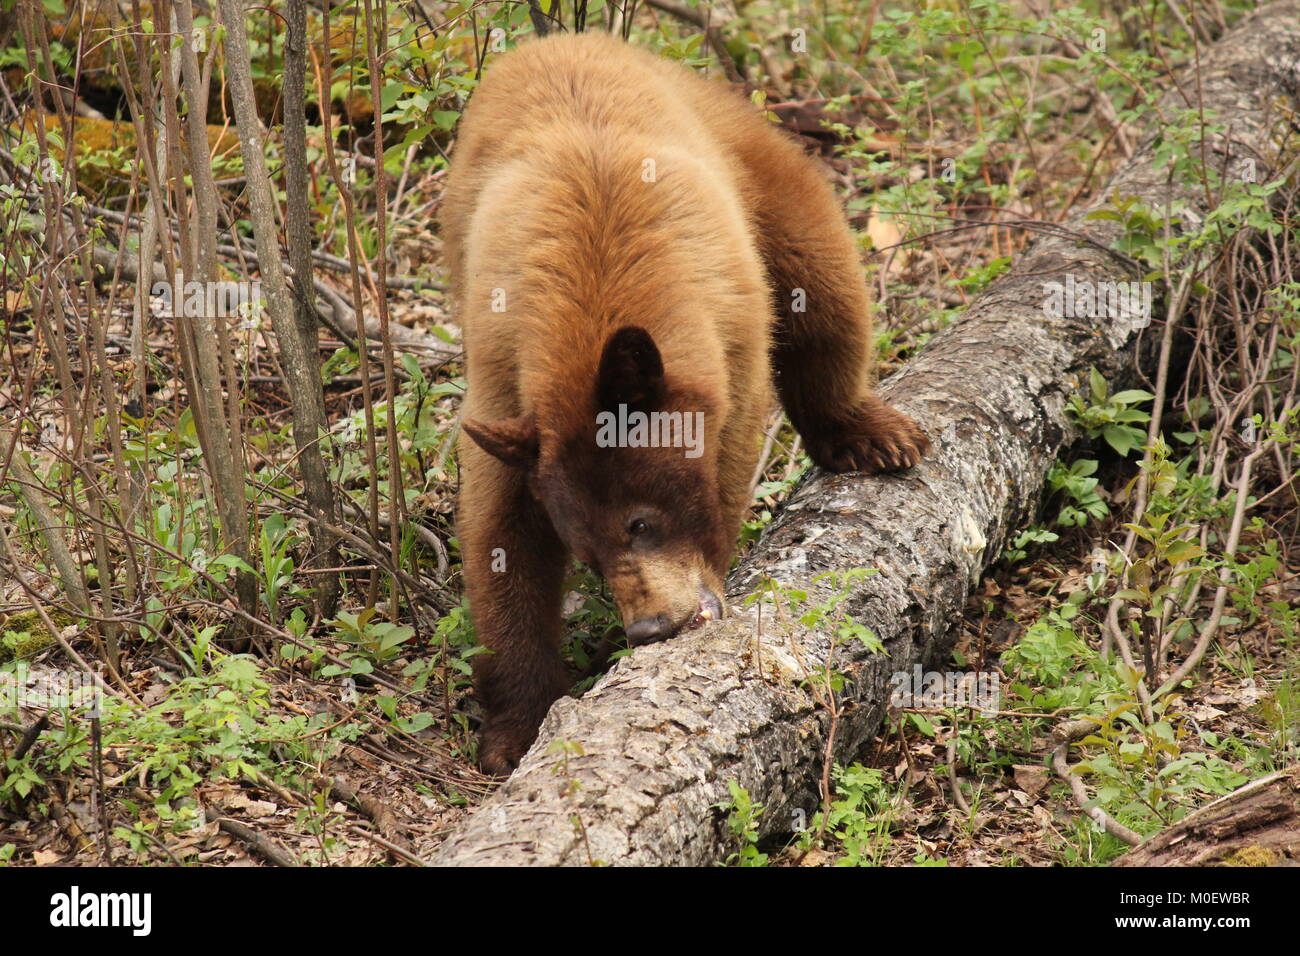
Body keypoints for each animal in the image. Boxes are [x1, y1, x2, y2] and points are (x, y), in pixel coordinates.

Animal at [440, 32, 929, 776]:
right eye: (585, 554)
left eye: (642, 523)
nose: (648, 626)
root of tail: (568, 38)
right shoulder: (504, 368)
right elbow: (501, 529)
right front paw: (517, 725)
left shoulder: (729, 327)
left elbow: (728, 452)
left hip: (754, 161)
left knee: (822, 276)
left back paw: (868, 432)